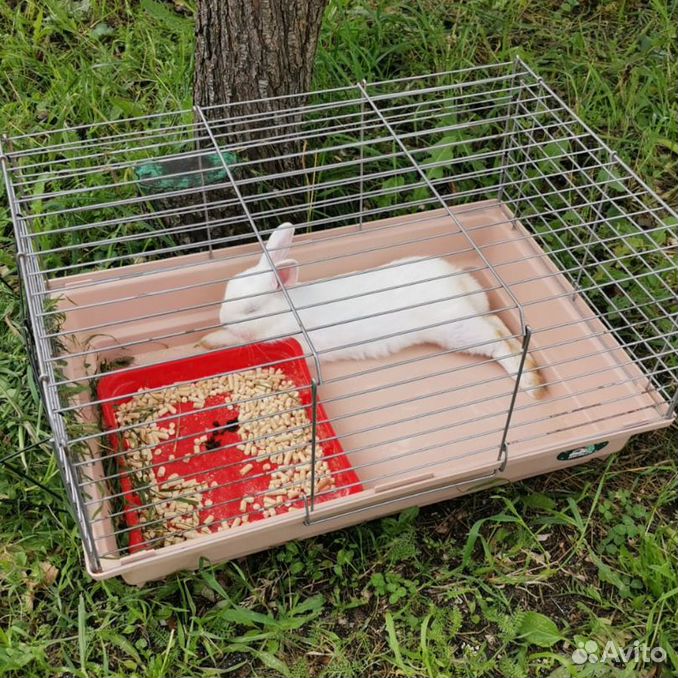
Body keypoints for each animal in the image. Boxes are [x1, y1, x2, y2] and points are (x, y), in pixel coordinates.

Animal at [200, 222, 546, 399]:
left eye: (251, 309)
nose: (222, 318)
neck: (287, 310)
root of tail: (457, 281)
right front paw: (207, 338)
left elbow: (239, 342)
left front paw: (210, 340)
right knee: (502, 328)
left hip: (456, 330)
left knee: (498, 343)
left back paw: (532, 385)